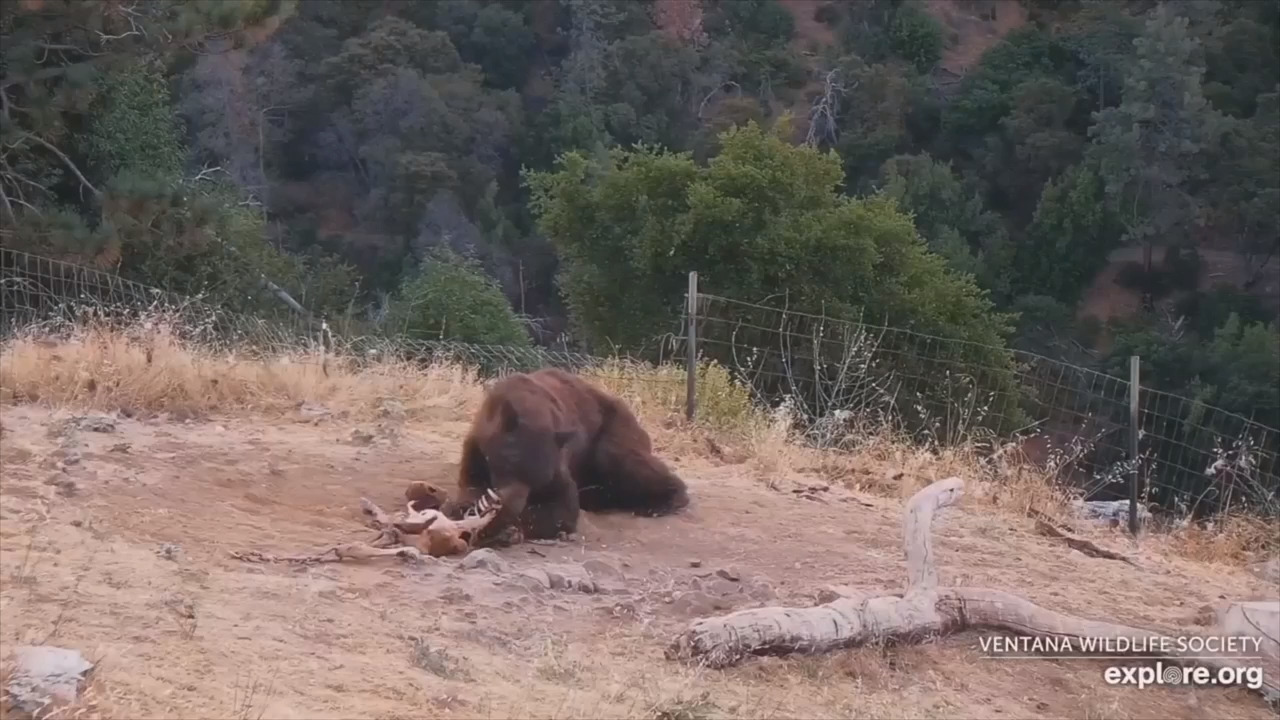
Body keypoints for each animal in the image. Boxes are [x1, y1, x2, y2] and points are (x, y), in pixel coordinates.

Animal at [445, 367, 689, 545]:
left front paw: (506, 530)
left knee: (621, 460)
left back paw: (660, 503)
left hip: (612, 432)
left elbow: (563, 507)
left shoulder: (558, 462)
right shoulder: (477, 447)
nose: (500, 501)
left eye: (539, 483)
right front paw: (467, 511)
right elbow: (468, 488)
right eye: (510, 465)